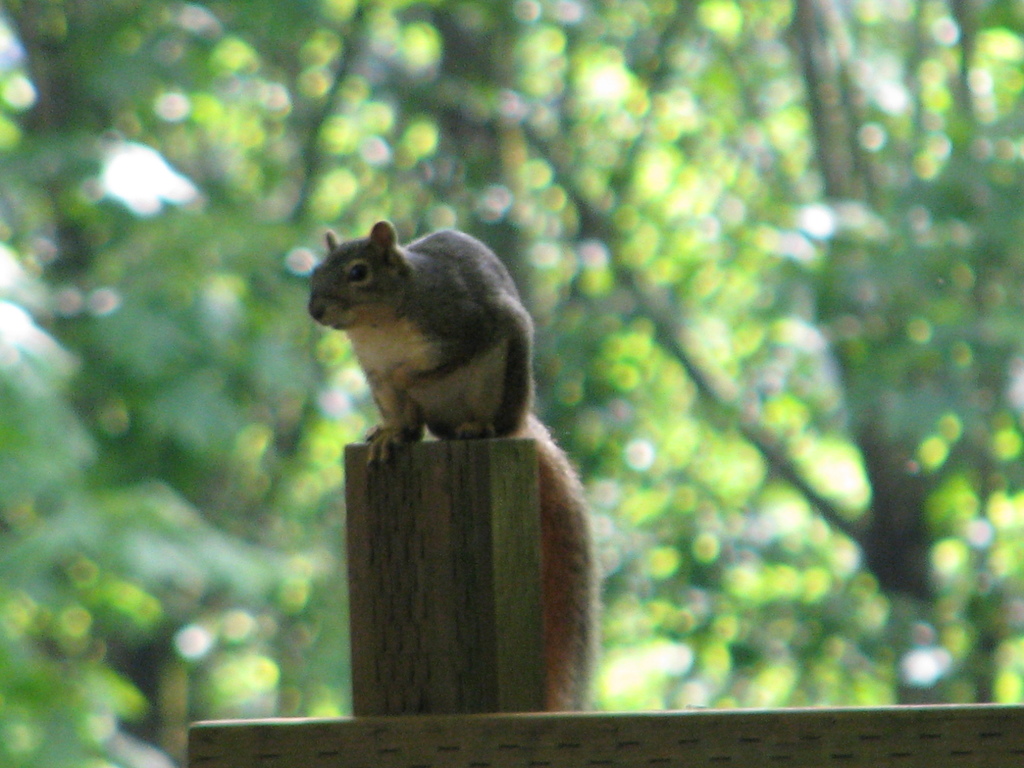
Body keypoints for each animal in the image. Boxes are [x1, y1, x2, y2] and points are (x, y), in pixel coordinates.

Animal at [308, 220, 599, 710]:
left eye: (358, 272)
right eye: (314, 270)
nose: (315, 311)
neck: (380, 325)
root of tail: (520, 424)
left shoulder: (465, 324)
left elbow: (430, 368)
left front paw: (410, 376)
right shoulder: (375, 376)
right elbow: (395, 405)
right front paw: (390, 432)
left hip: (500, 378)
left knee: (487, 415)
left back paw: (476, 426)